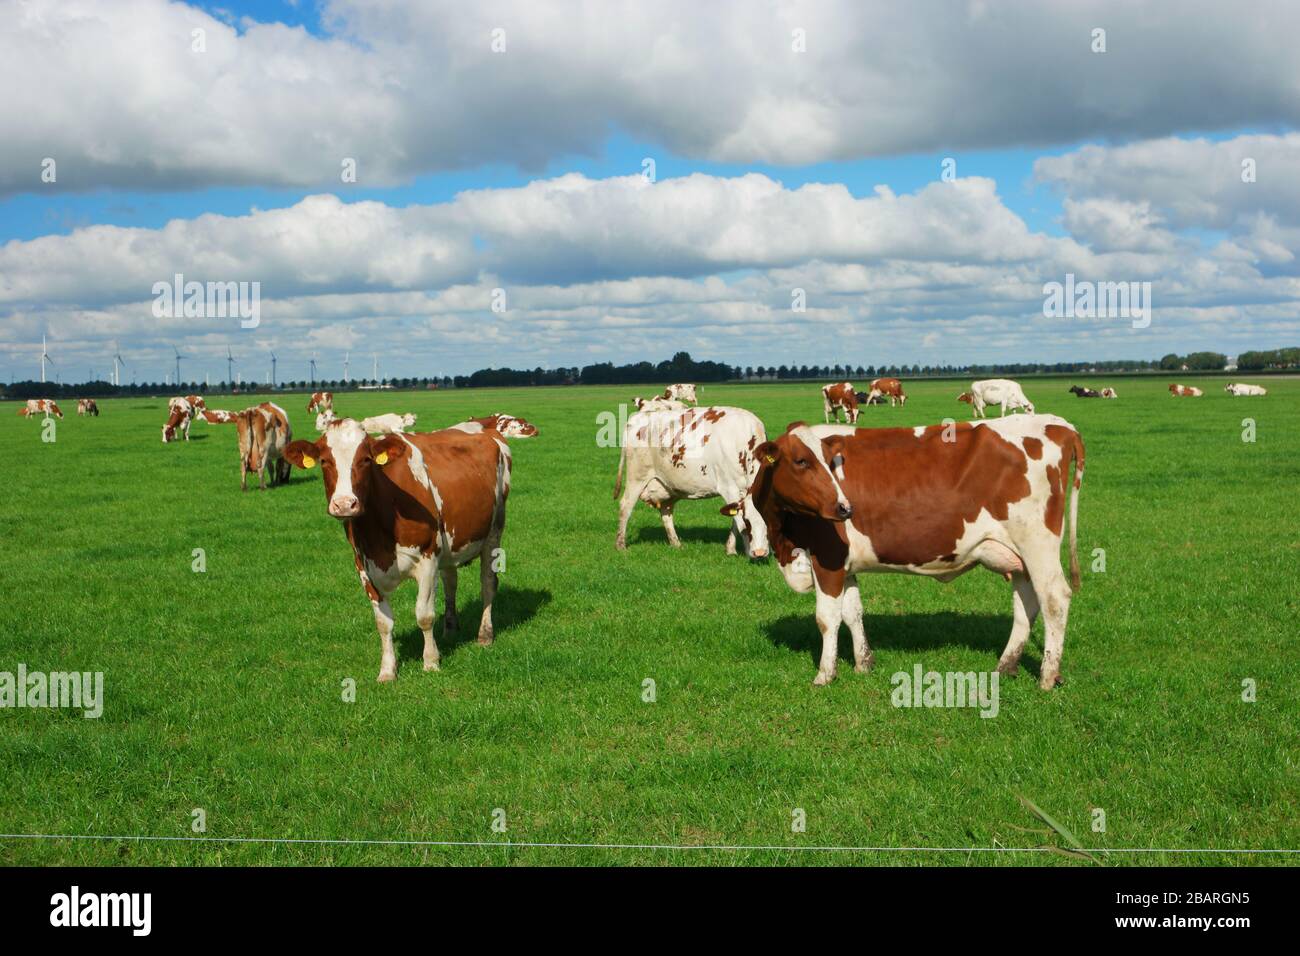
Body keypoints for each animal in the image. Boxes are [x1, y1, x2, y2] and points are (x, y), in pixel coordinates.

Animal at [282, 419, 511, 682]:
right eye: (324, 461)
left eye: (366, 460)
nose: (344, 504)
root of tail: (482, 424)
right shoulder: (363, 566)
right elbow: (383, 623)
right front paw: (387, 670)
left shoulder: (427, 559)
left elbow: (424, 615)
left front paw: (431, 662)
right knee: (450, 582)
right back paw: (450, 628)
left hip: (494, 531)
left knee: (488, 583)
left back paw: (485, 635)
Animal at [614, 405, 769, 558]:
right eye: (748, 522)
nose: (760, 553)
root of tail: (638, 417)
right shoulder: (728, 487)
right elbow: (739, 522)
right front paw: (747, 552)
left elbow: (735, 522)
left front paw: (731, 549)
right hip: (637, 476)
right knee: (625, 506)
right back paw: (620, 546)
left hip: (668, 486)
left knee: (665, 511)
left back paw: (676, 544)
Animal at [731, 415, 1084, 689]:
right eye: (801, 461)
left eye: (828, 463)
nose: (844, 508)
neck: (784, 537)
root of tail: (1060, 425)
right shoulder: (846, 563)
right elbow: (853, 612)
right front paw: (863, 663)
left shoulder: (827, 558)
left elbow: (827, 618)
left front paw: (825, 674)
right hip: (1019, 557)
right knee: (1026, 604)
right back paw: (1006, 666)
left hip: (1037, 545)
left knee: (1054, 599)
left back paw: (1047, 676)